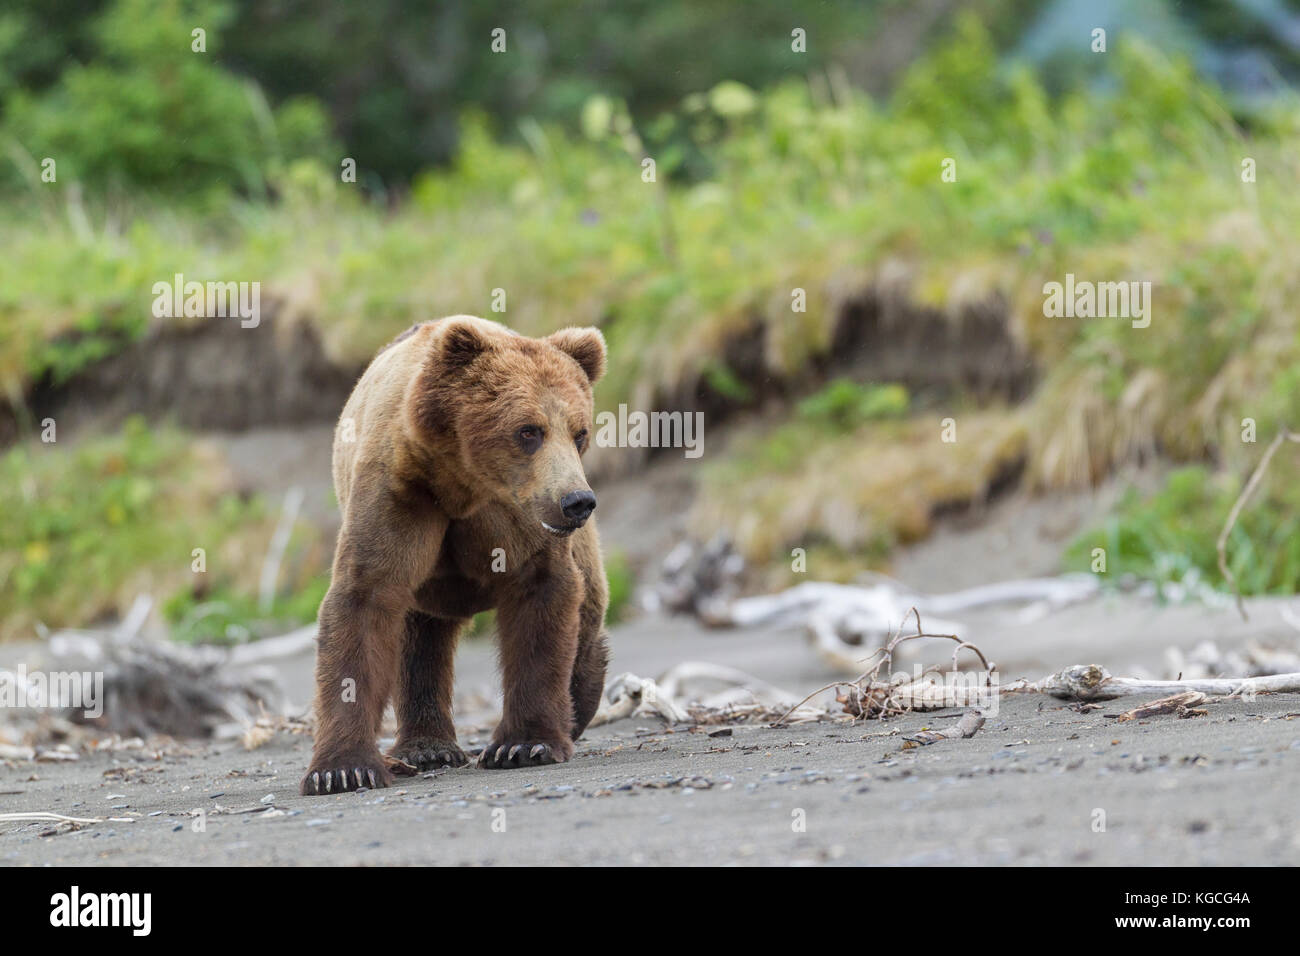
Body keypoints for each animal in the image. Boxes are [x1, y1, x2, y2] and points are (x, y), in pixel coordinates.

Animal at [300, 315, 610, 795]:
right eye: (528, 431)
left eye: (580, 433)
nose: (576, 501)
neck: (459, 482)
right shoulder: (400, 493)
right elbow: (364, 600)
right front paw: (342, 769)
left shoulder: (515, 516)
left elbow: (542, 598)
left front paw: (524, 744)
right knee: (419, 641)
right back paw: (426, 747)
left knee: (587, 614)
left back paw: (578, 704)